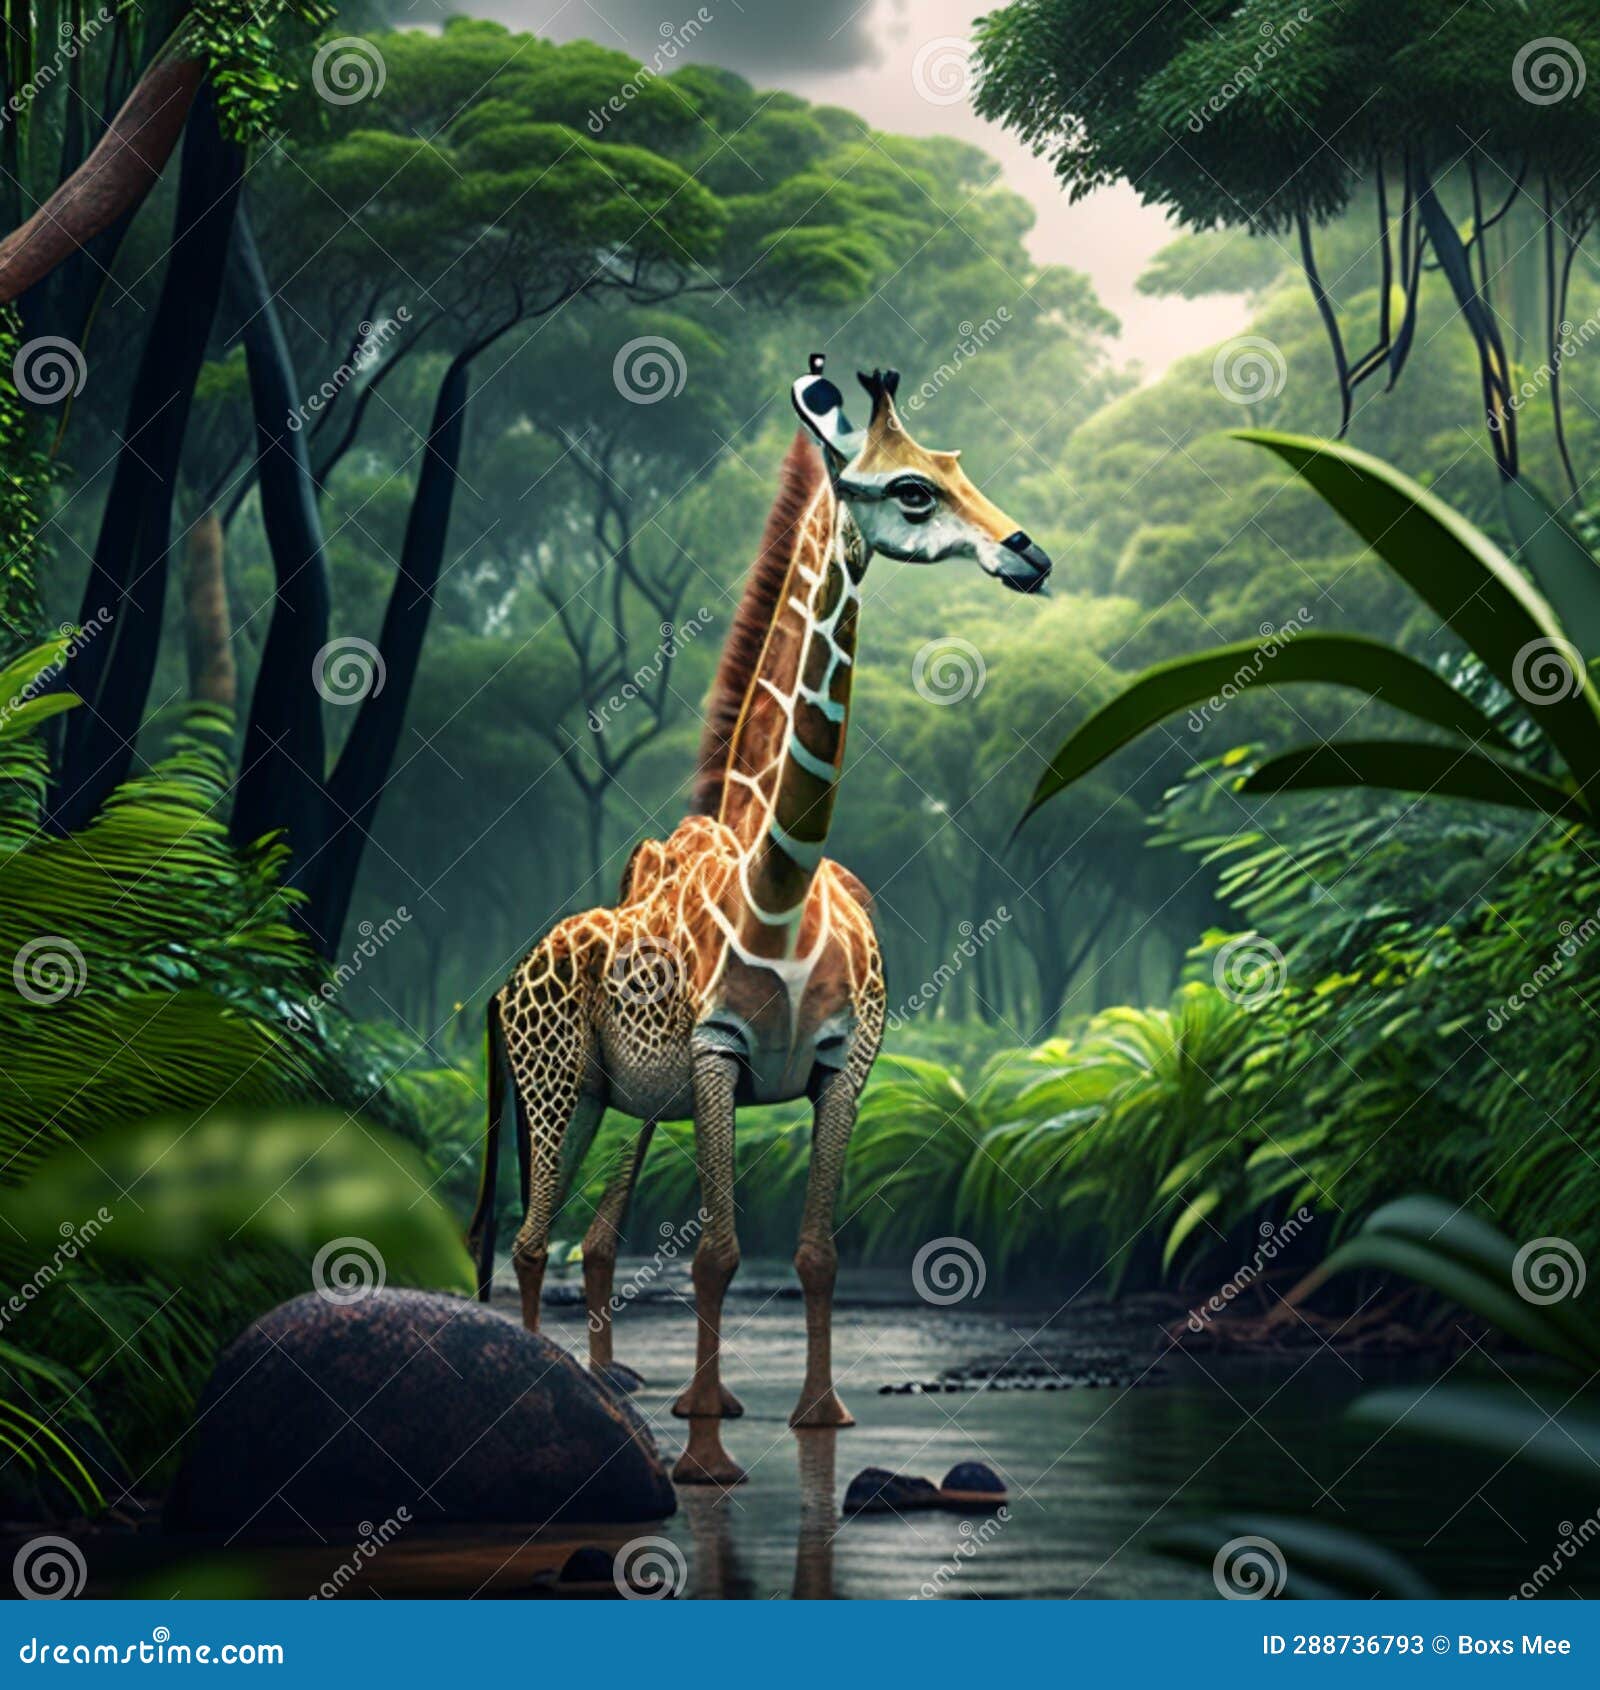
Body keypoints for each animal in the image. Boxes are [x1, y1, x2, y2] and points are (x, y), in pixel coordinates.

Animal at [467, 357, 1052, 1485]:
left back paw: (605, 1384)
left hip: (612, 1100)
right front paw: (704, 1452)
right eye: (909, 489)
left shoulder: (841, 1062)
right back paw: (545, 1394)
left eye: (957, 463)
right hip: (551, 1082)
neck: (777, 885)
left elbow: (815, 1253)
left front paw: (817, 1414)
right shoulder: (713, 1055)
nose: (1030, 553)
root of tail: (503, 980)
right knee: (524, 1237)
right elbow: (716, 1253)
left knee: (583, 1239)